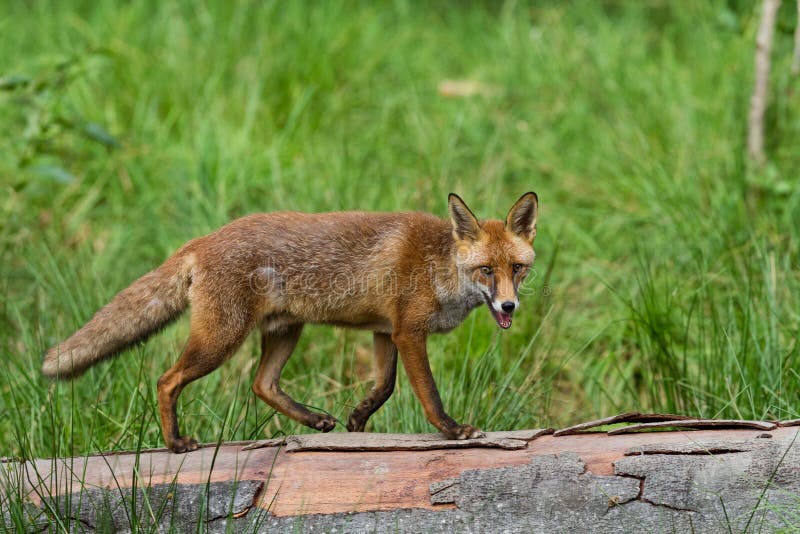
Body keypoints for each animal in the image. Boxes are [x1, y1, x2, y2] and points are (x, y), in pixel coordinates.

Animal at [43, 192, 539, 453]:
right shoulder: (407, 332)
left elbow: (384, 386)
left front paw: (358, 419)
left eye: (517, 268)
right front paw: (454, 431)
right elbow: (428, 394)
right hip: (220, 340)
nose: (509, 307)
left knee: (262, 384)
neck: (439, 265)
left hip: (284, 332)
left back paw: (314, 420)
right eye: (486, 271)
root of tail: (202, 240)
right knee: (167, 380)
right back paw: (176, 442)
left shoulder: (385, 331)